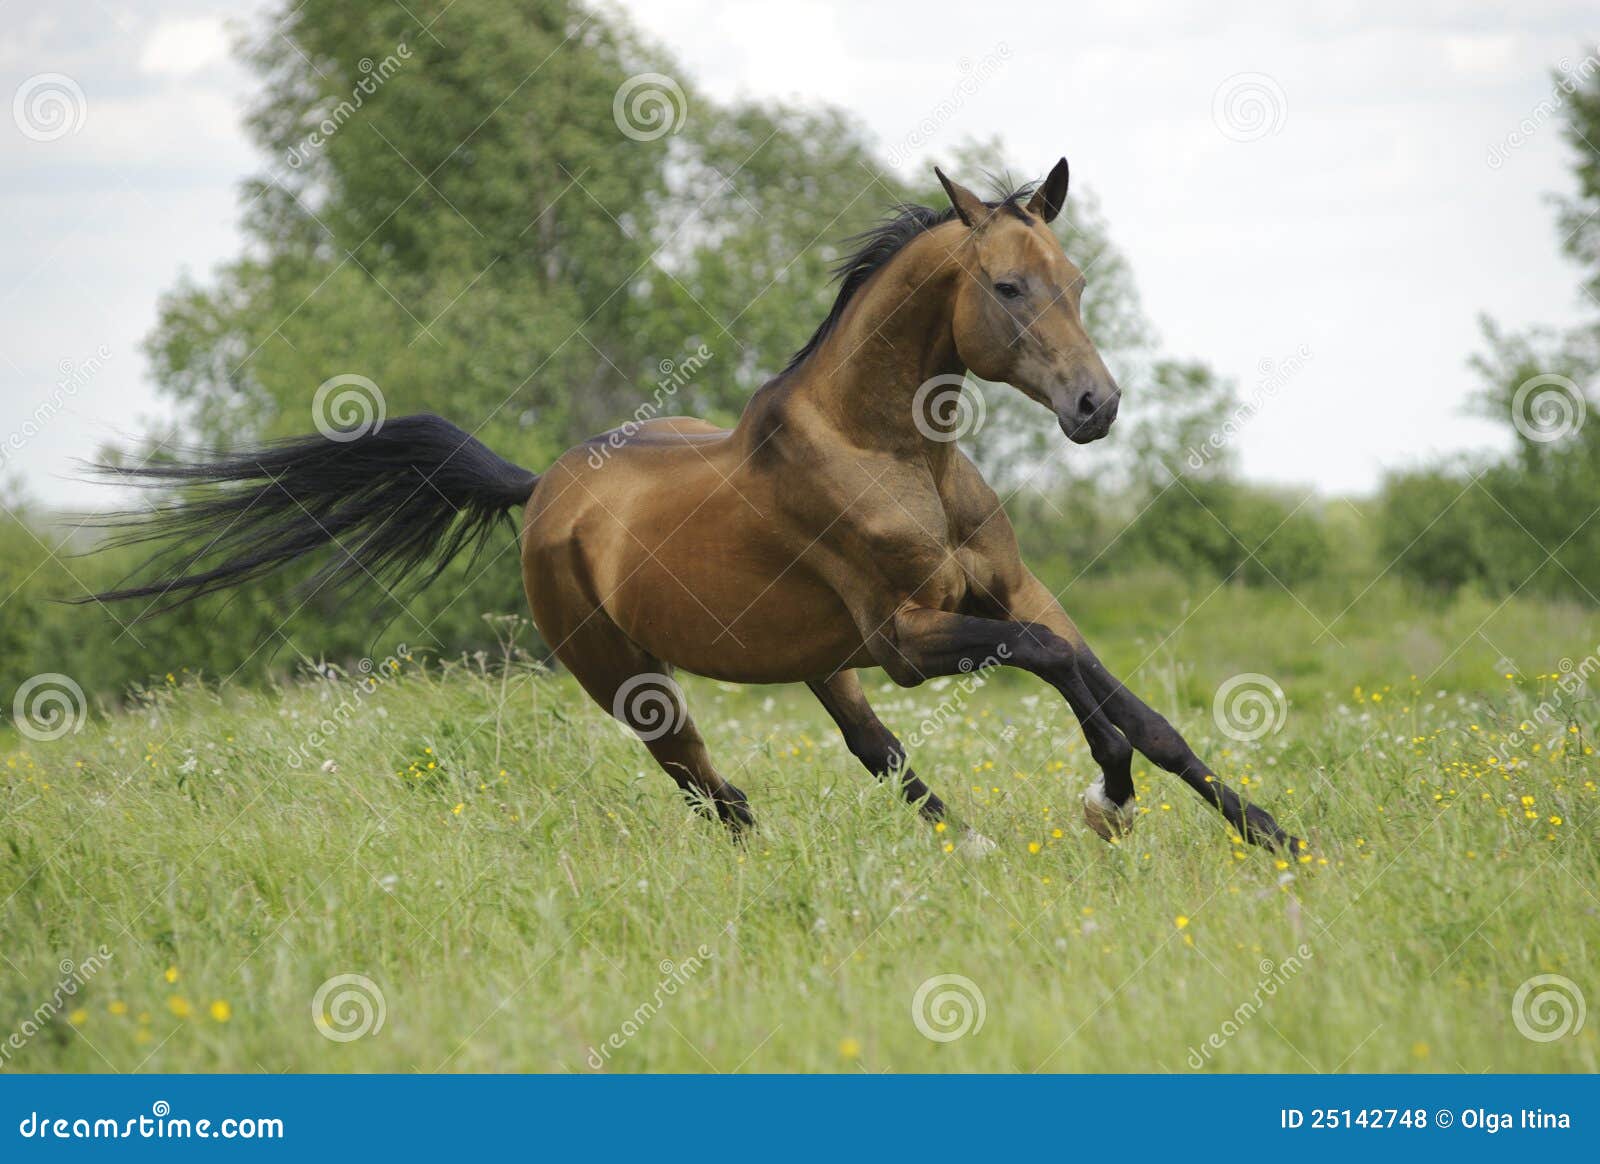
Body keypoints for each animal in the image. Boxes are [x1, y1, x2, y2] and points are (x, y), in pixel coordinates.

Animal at [86, 158, 1300, 856]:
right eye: (1006, 287)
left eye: (1077, 283)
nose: (1097, 406)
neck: (895, 451)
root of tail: (544, 489)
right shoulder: (907, 637)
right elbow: (1059, 672)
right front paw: (1108, 799)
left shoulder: (1009, 589)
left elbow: (1120, 695)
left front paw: (1269, 833)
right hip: (634, 684)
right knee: (717, 794)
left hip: (816, 664)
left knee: (874, 757)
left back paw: (974, 854)